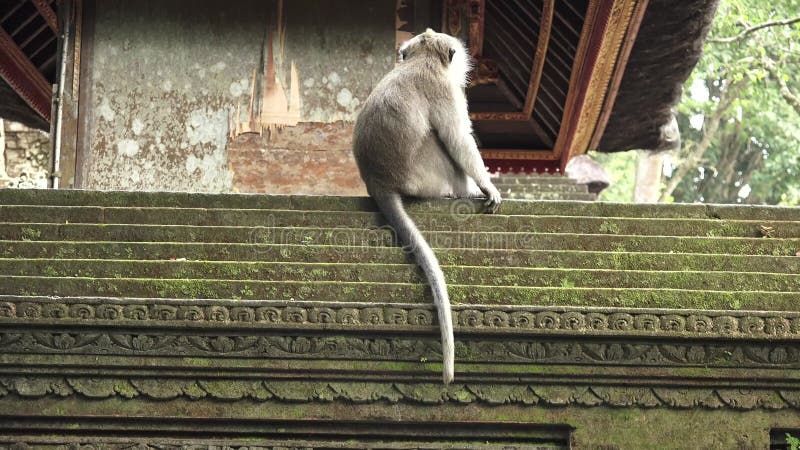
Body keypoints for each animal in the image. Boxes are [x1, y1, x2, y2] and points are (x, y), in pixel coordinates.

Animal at [352, 29, 502, 384]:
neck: (423, 61)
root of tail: (377, 181)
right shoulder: (444, 90)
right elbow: (460, 141)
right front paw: (488, 186)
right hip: (428, 172)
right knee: (443, 144)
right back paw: (461, 193)